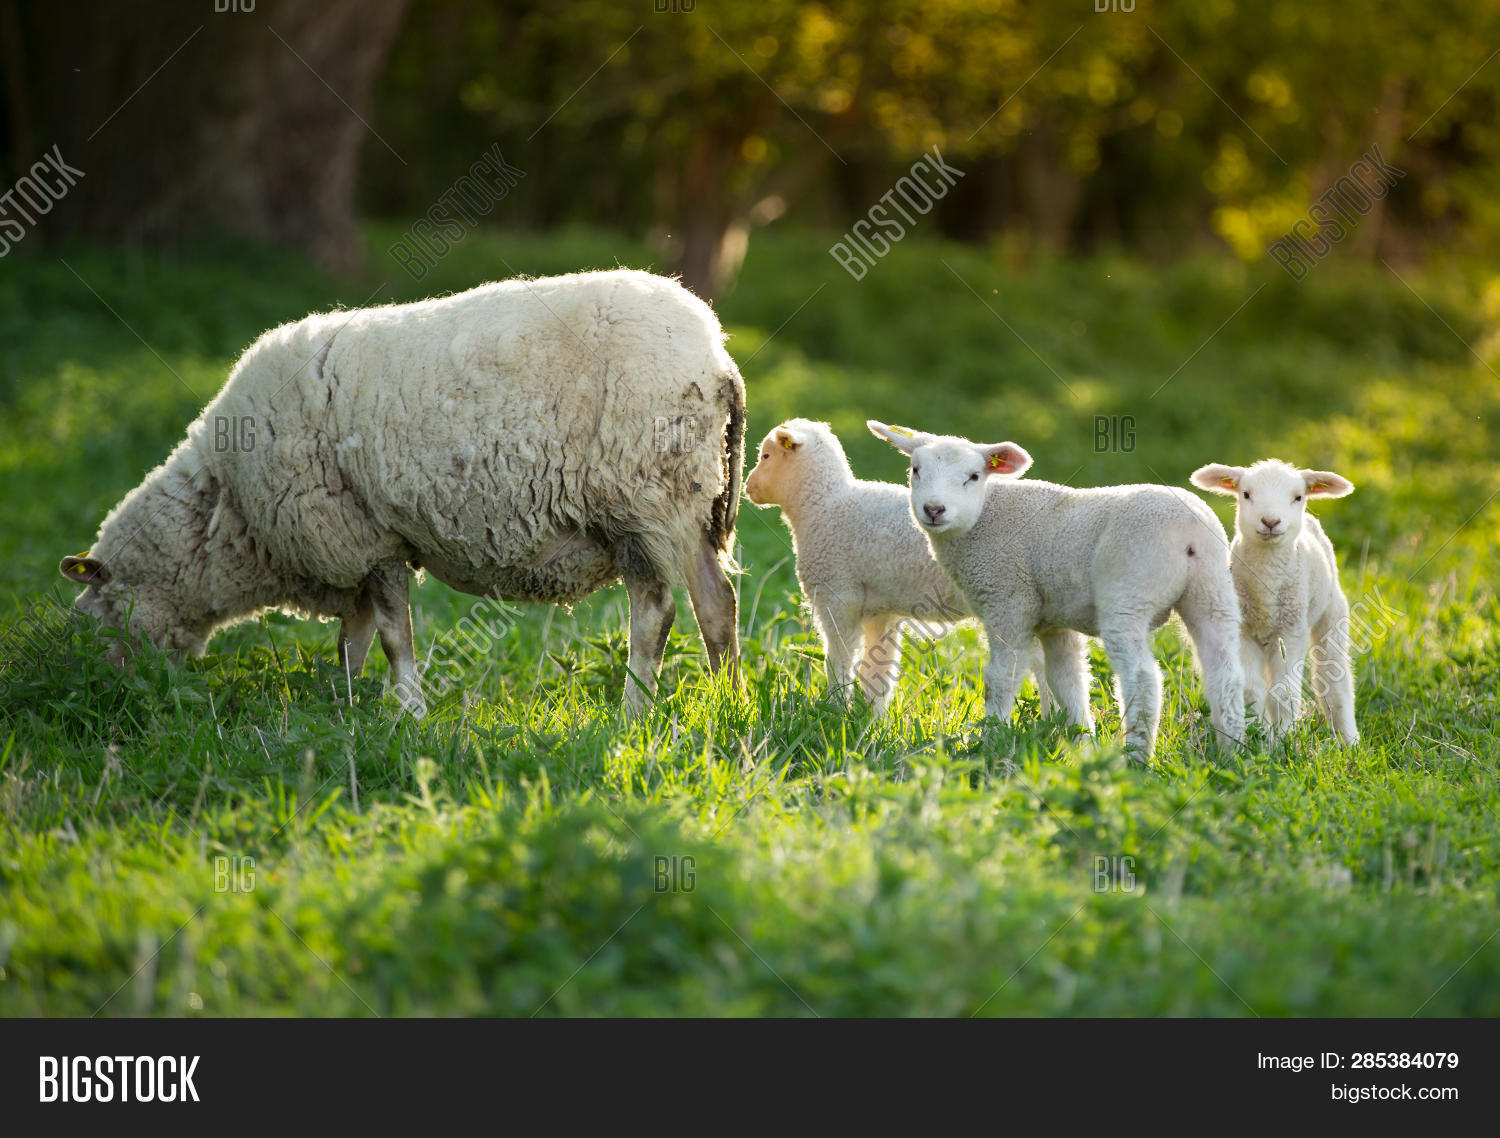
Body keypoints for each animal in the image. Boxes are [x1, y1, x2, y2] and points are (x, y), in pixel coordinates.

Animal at [58, 269, 745, 717]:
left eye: (106, 610)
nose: (112, 694)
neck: (231, 517)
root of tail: (717, 355)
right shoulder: (353, 547)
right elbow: (353, 640)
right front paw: (345, 708)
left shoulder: (365, 535)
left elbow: (392, 636)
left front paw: (408, 712)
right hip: (687, 503)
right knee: (717, 602)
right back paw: (729, 701)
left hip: (641, 499)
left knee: (655, 613)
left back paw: (635, 710)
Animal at [744, 418, 1049, 717]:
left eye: (766, 455)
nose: (748, 486)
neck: (822, 504)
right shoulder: (881, 611)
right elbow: (877, 673)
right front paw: (872, 720)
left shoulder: (838, 595)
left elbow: (840, 661)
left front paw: (835, 709)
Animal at [869, 421, 1246, 758]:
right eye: (915, 470)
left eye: (973, 476)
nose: (934, 509)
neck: (983, 518)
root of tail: (1189, 533)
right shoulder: (1055, 621)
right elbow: (1068, 681)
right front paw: (1082, 744)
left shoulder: (1008, 599)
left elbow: (1001, 677)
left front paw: (990, 741)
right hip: (1213, 592)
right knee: (1225, 675)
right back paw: (1234, 751)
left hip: (1129, 593)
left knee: (1142, 678)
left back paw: (1137, 757)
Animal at [1189, 459, 1358, 744]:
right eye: (1246, 494)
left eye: (1298, 497)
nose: (1270, 521)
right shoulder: (1244, 632)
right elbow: (1252, 691)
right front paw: (1255, 735)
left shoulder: (1292, 631)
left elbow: (1283, 694)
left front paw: (1282, 741)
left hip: (1331, 612)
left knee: (1334, 680)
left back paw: (1348, 739)